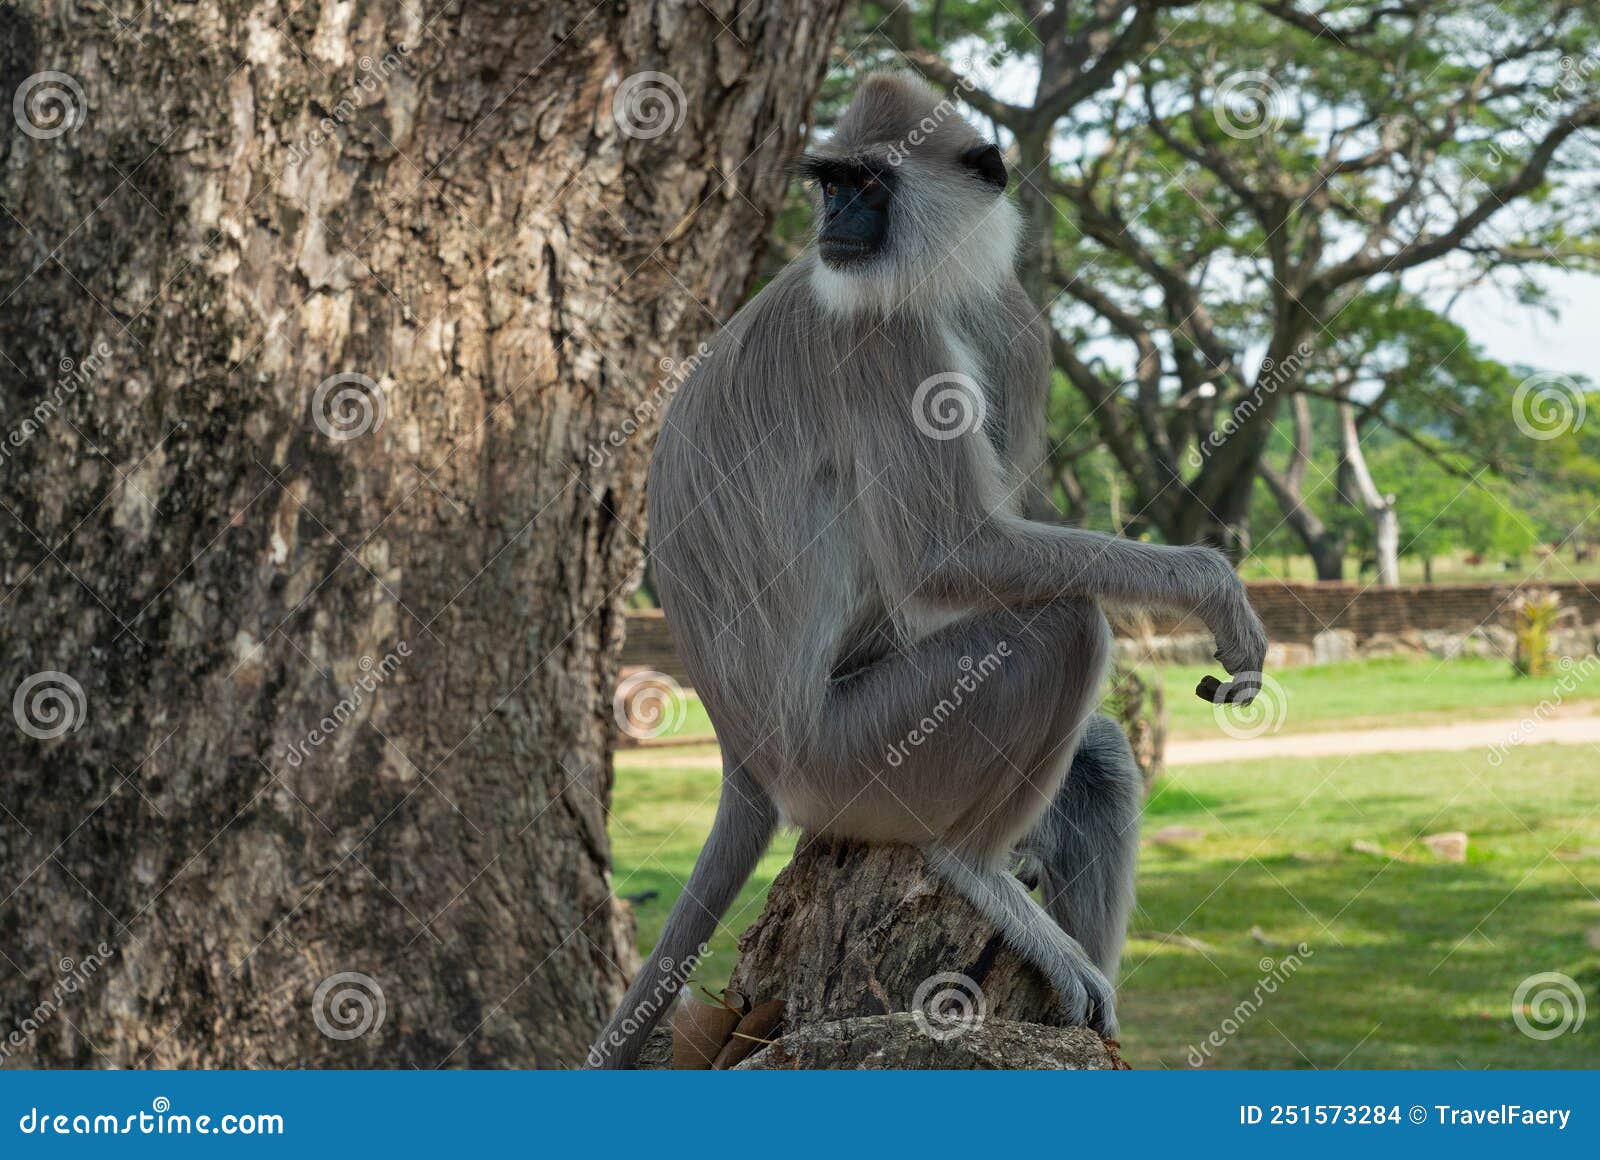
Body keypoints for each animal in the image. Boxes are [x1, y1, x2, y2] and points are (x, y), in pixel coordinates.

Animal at [587, 73, 1267, 1069]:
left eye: (867, 184)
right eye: (831, 183)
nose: (833, 221)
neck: (940, 277)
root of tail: (743, 754)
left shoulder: (1014, 322)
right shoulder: (885, 332)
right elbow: (946, 559)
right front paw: (1210, 584)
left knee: (1101, 752)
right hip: (849, 760)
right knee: (1064, 624)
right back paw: (972, 867)